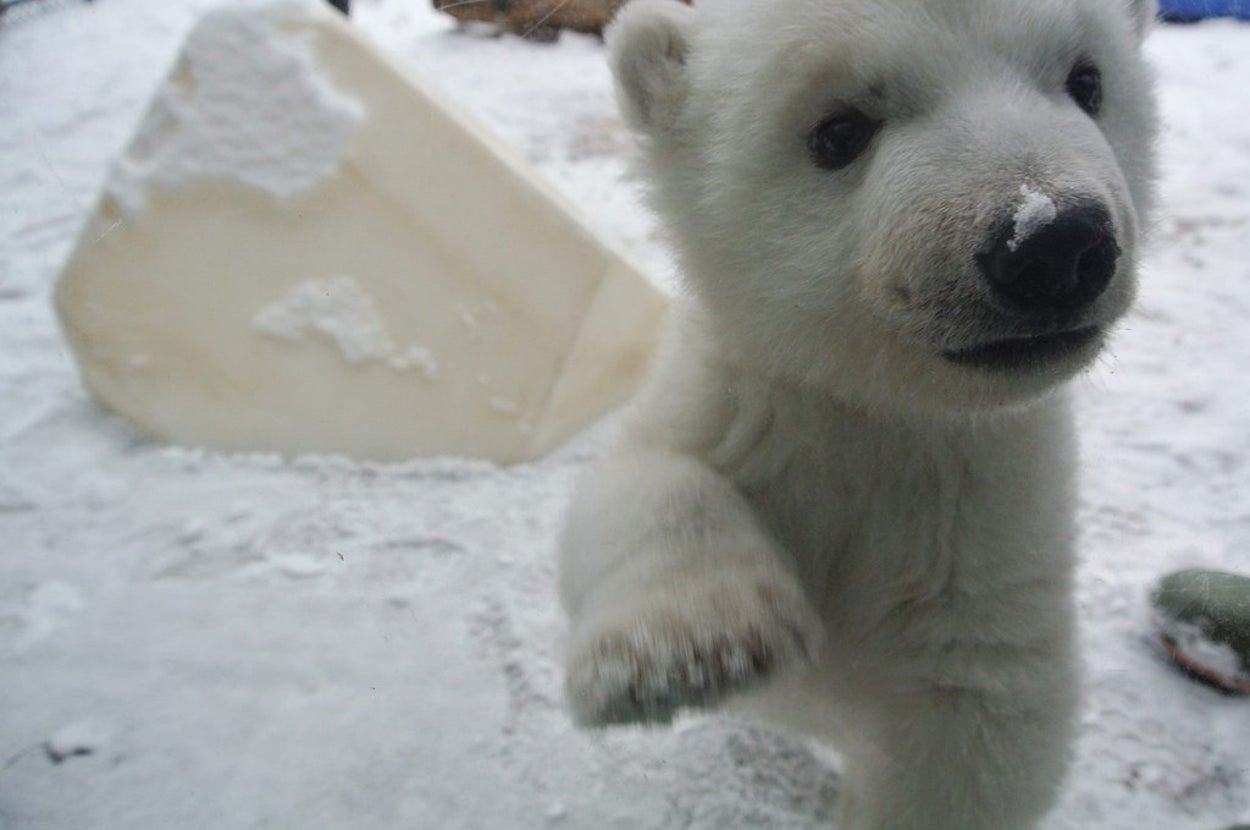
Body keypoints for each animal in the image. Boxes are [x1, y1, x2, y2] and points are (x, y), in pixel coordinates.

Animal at [558, 0, 1158, 828]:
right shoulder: (748, 399)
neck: (883, 404)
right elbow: (638, 476)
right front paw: (692, 652)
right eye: (839, 130)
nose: (1053, 242)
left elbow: (973, 729)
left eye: (1087, 80)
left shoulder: (985, 527)